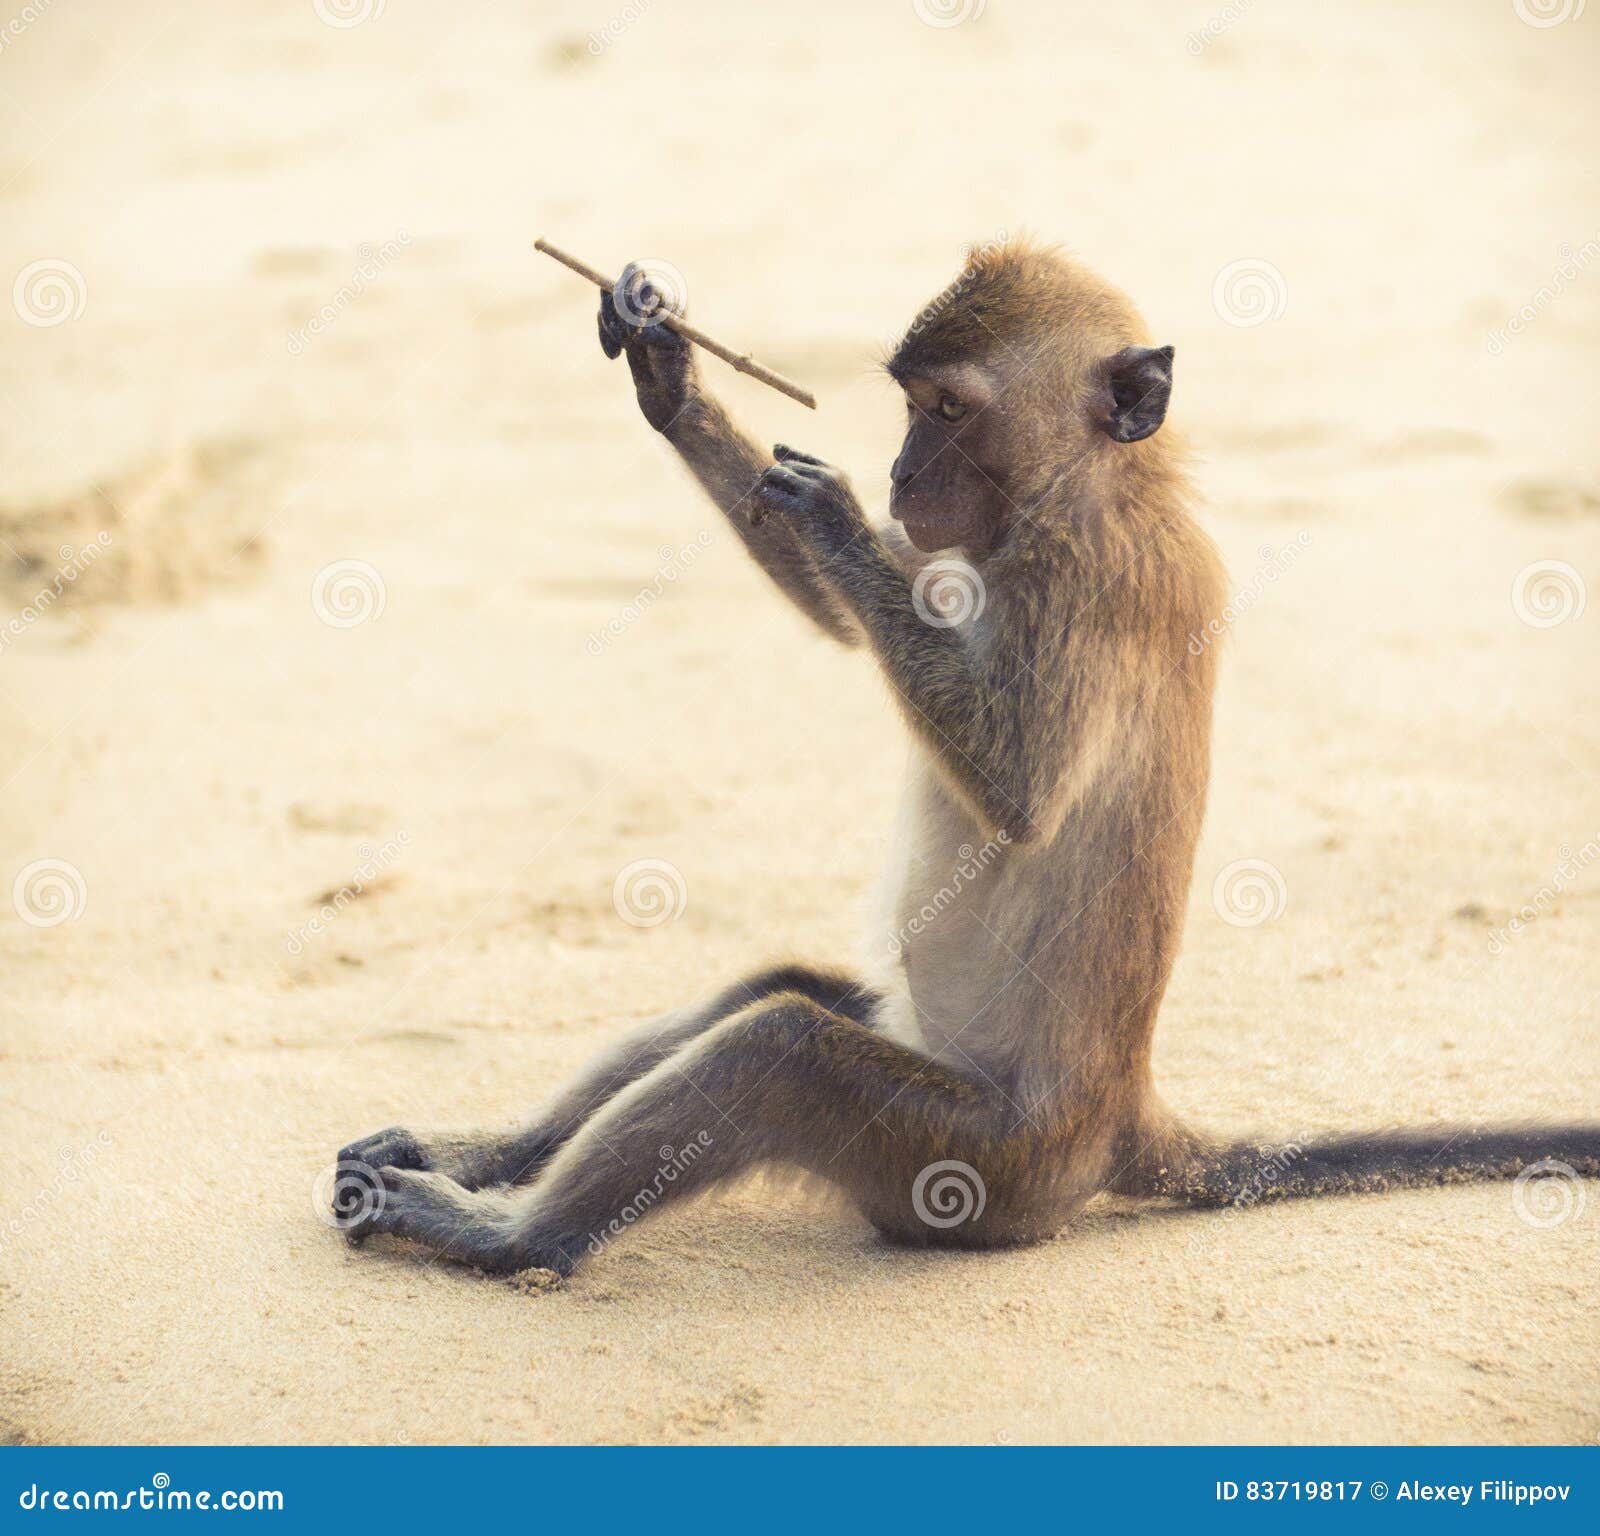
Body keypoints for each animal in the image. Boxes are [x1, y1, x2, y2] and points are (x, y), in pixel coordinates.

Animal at [330, 241, 1599, 1276]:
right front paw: (665, 365)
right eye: (908, 404)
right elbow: (856, 623)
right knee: (780, 993)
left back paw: (508, 1235)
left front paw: (834, 515)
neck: (1089, 486)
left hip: (979, 1167)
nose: (896, 477)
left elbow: (1019, 799)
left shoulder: (1086, 585)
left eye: (945, 410)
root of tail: (1121, 1122)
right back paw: (480, 1158)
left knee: (780, 1047)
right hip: (924, 1061)